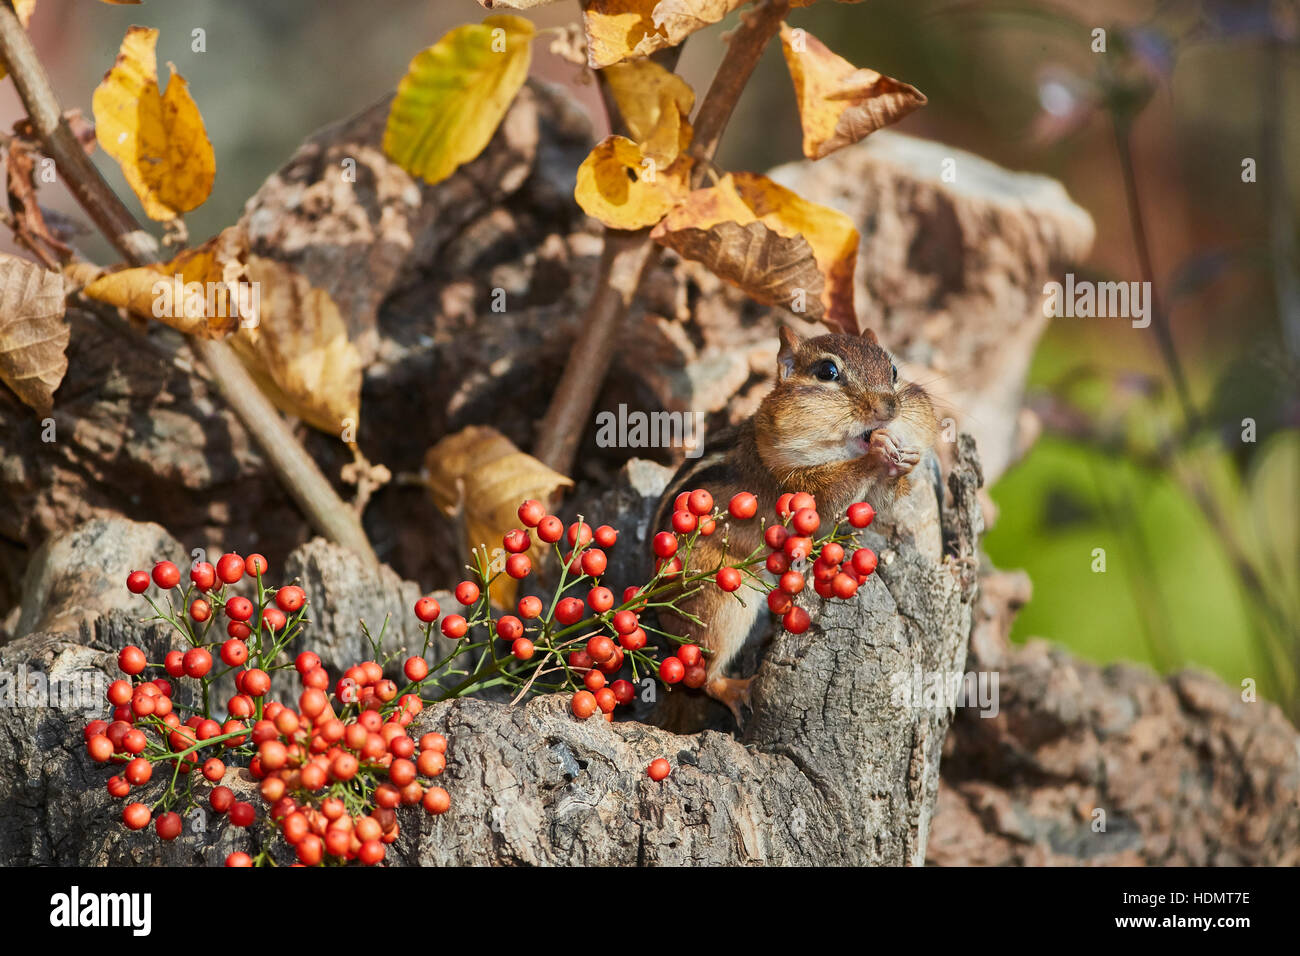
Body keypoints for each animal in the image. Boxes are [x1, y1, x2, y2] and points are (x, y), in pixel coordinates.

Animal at [651, 325, 939, 729]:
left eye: (894, 371)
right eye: (827, 373)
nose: (889, 408)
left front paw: (905, 460)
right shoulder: (794, 485)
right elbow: (834, 491)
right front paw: (876, 455)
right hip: (718, 602)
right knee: (704, 674)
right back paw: (739, 688)